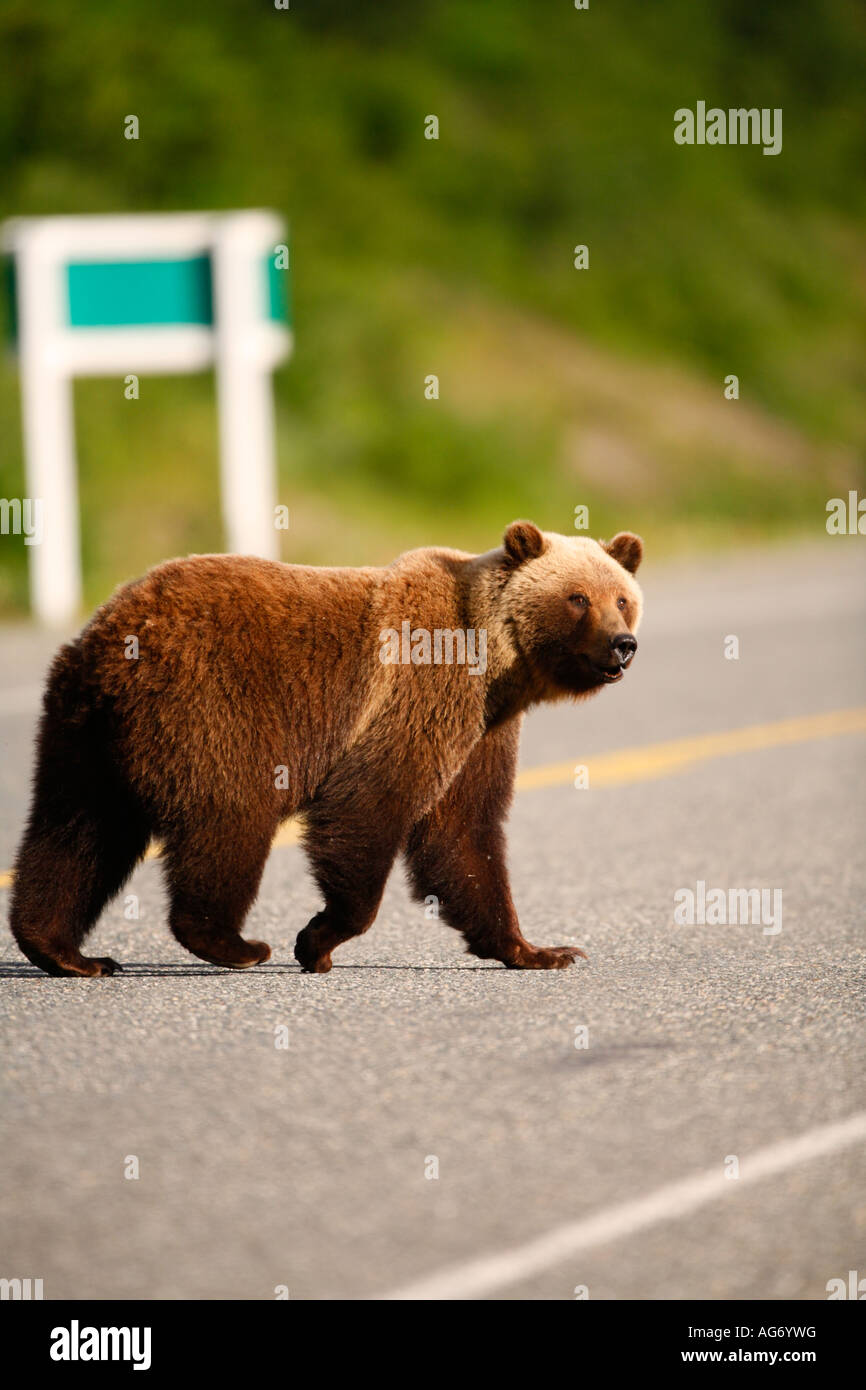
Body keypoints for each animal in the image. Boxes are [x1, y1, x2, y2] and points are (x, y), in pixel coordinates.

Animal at [9, 521, 643, 978]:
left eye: (622, 599)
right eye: (578, 598)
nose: (623, 644)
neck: (496, 661)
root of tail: (107, 638)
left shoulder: (485, 727)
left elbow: (464, 832)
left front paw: (540, 950)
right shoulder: (419, 692)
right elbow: (371, 804)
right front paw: (317, 941)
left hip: (80, 733)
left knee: (74, 832)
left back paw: (66, 952)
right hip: (209, 708)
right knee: (232, 817)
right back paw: (235, 943)